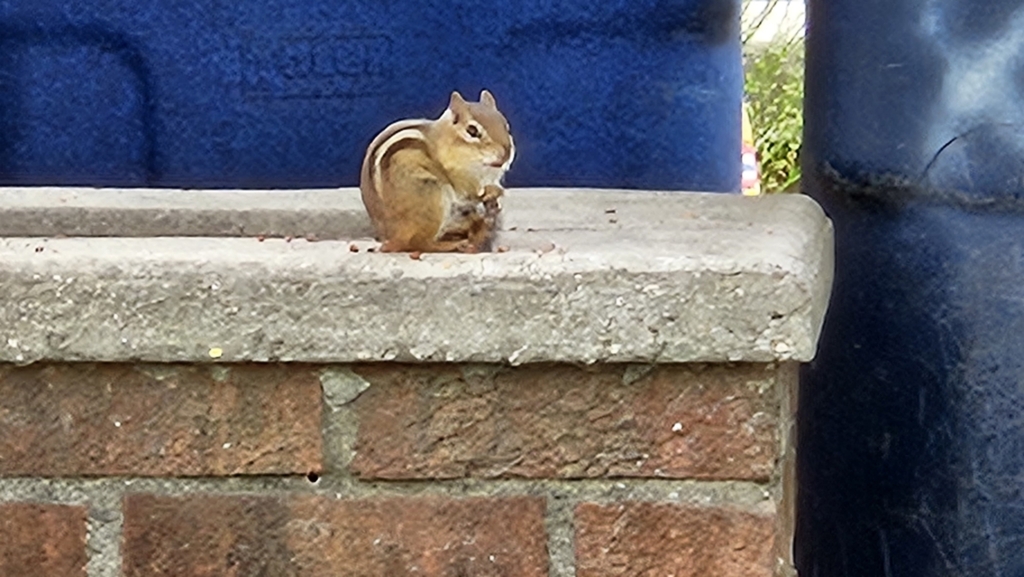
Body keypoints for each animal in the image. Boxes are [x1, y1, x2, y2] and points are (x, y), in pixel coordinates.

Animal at [359, 90, 515, 253]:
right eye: (472, 131)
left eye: (506, 126)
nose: (506, 154)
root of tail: (391, 238)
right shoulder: (459, 178)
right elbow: (471, 194)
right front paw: (491, 192)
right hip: (431, 194)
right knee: (418, 243)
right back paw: (451, 244)